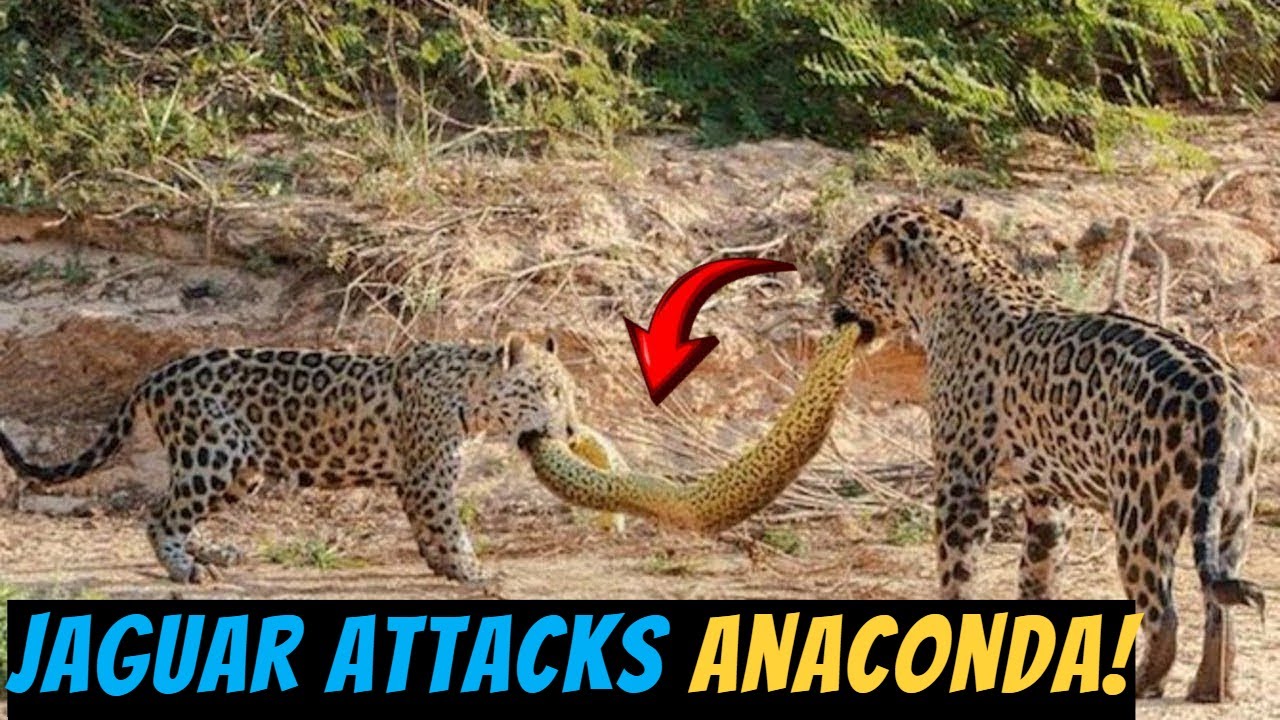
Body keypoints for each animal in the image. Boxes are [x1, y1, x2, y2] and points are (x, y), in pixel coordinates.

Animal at [0, 333, 581, 586]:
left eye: (569, 394)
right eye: (547, 392)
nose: (573, 430)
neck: (472, 395)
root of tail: (157, 374)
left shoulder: (417, 481)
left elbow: (430, 531)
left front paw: (445, 567)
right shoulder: (427, 478)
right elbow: (448, 526)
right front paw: (473, 573)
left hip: (241, 471)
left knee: (178, 511)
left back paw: (213, 553)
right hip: (213, 455)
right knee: (159, 514)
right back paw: (186, 570)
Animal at [822, 198, 1266, 702]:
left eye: (846, 270)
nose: (829, 309)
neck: (943, 291)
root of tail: (1219, 397)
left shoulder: (960, 478)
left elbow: (956, 569)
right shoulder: (1047, 496)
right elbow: (1038, 571)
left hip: (1141, 517)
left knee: (1164, 614)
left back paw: (1144, 682)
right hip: (1234, 514)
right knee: (1219, 604)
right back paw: (1209, 688)